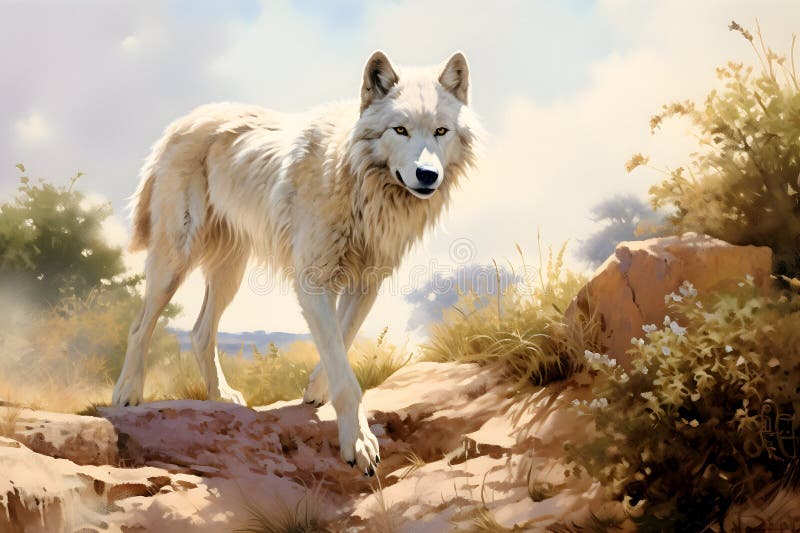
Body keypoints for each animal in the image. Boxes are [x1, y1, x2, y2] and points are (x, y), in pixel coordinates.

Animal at [112, 50, 480, 475]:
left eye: (441, 131)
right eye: (400, 130)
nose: (427, 175)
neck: (356, 181)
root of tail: (182, 121)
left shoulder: (365, 282)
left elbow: (342, 341)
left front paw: (316, 392)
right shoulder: (313, 281)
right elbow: (345, 374)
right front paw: (358, 443)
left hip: (229, 273)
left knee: (201, 331)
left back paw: (221, 396)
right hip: (175, 259)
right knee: (140, 325)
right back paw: (127, 394)